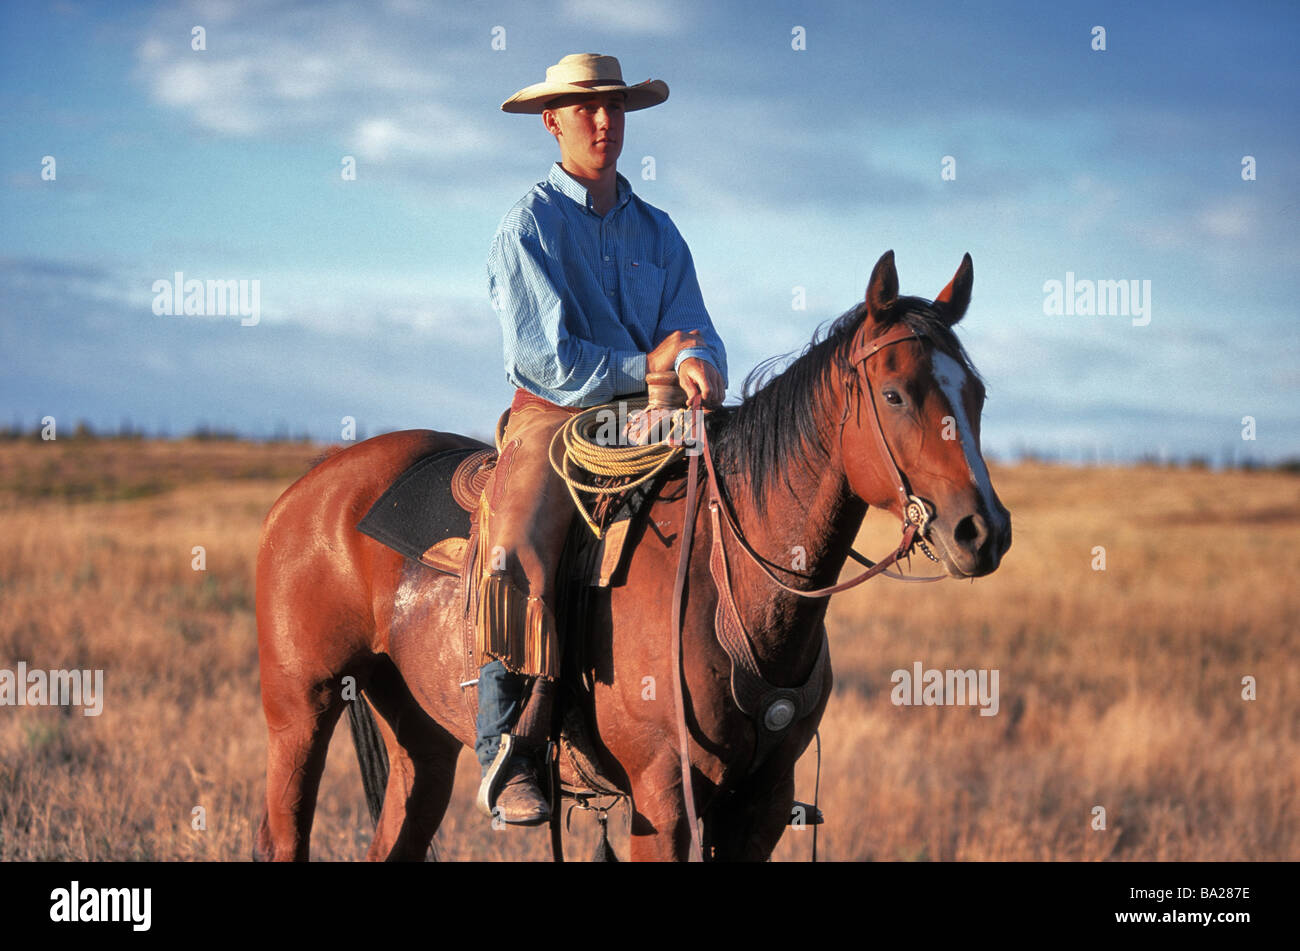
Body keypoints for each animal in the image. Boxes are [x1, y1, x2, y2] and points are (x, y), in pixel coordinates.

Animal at [252, 250, 1012, 862]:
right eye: (894, 393)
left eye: (976, 393)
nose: (983, 531)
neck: (728, 583)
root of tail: (310, 485)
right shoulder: (663, 796)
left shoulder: (762, 802)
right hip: (299, 712)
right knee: (282, 833)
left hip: (421, 737)